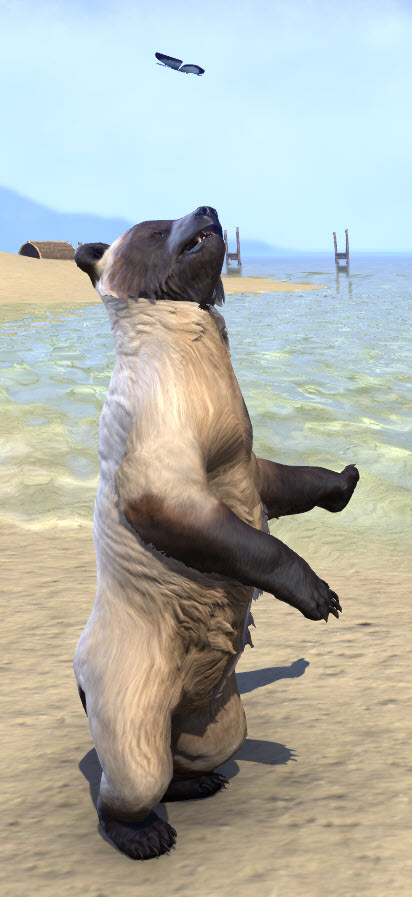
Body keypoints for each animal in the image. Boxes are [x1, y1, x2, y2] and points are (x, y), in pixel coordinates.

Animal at [73, 205, 359, 861]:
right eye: (155, 229)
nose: (206, 209)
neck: (194, 361)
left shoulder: (242, 461)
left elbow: (279, 479)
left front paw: (345, 479)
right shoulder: (159, 437)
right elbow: (207, 526)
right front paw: (319, 595)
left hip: (216, 712)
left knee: (204, 743)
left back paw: (200, 781)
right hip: (130, 673)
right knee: (135, 765)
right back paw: (144, 832)